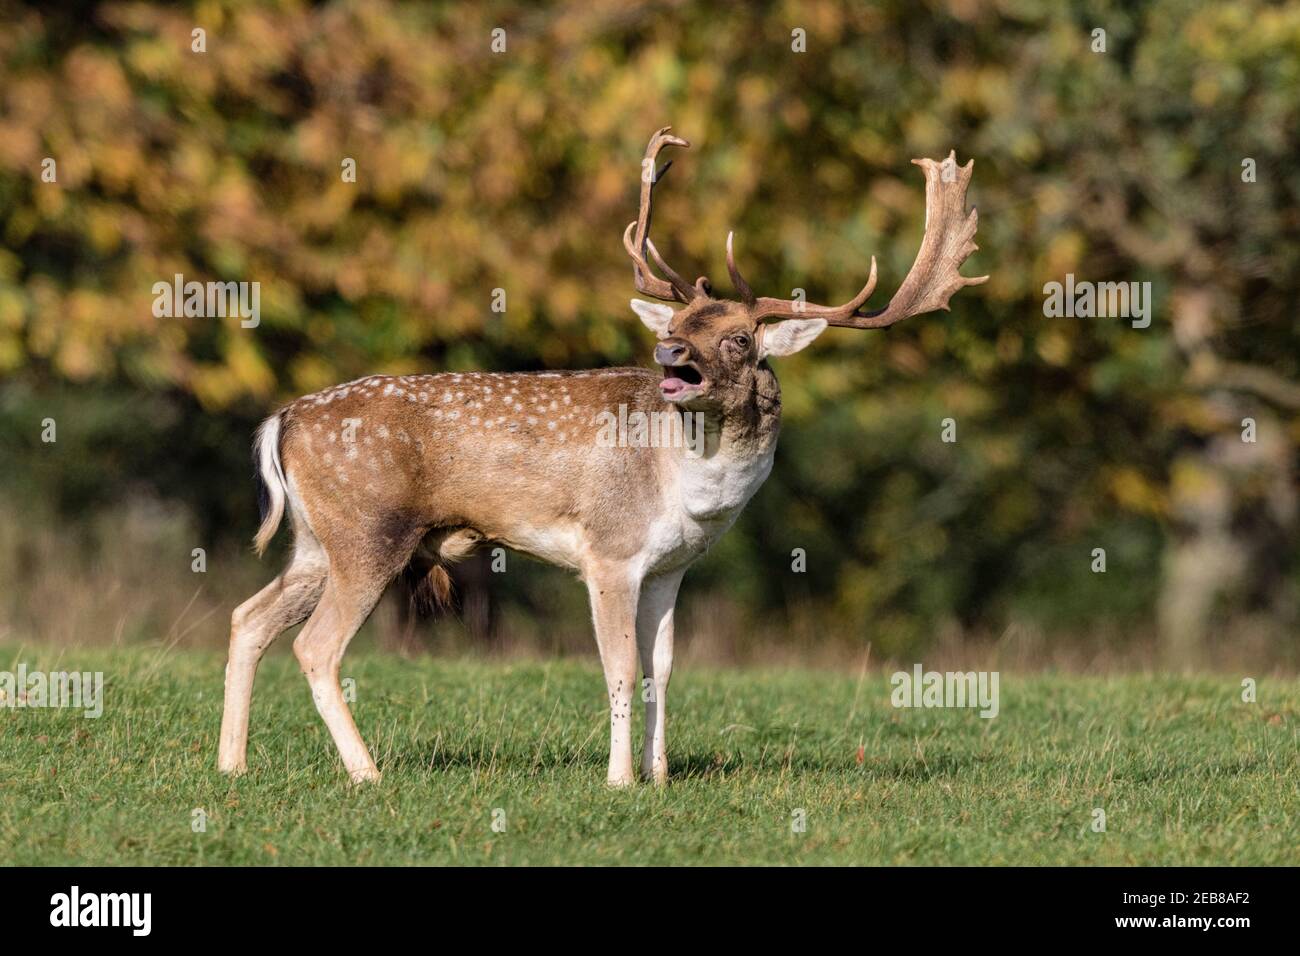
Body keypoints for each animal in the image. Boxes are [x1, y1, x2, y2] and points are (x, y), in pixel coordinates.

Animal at [217, 128, 986, 786]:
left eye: (739, 339)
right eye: (680, 322)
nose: (670, 352)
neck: (692, 491)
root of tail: (282, 420)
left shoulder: (672, 568)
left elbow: (661, 669)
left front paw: (660, 775)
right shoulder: (610, 550)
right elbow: (617, 665)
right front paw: (620, 780)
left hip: (317, 541)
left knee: (248, 617)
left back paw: (233, 765)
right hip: (368, 532)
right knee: (316, 647)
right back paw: (367, 773)